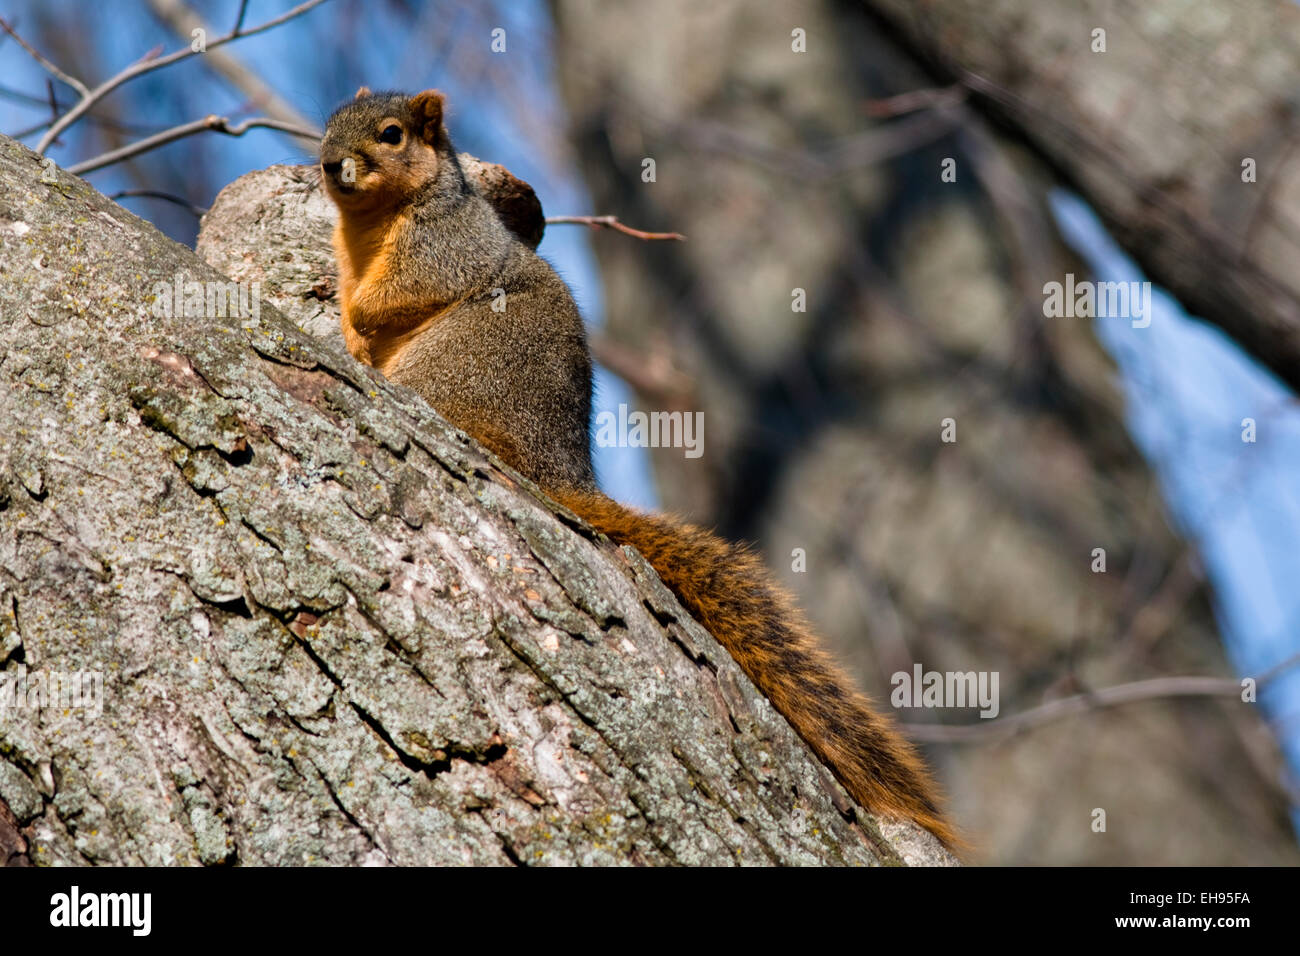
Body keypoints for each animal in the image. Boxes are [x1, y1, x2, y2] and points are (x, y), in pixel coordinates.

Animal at [319, 87, 957, 850]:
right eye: (329, 124)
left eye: (391, 135)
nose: (329, 164)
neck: (369, 224)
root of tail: (554, 464)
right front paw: (345, 326)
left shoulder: (446, 247)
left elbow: (409, 289)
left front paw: (360, 318)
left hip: (459, 365)